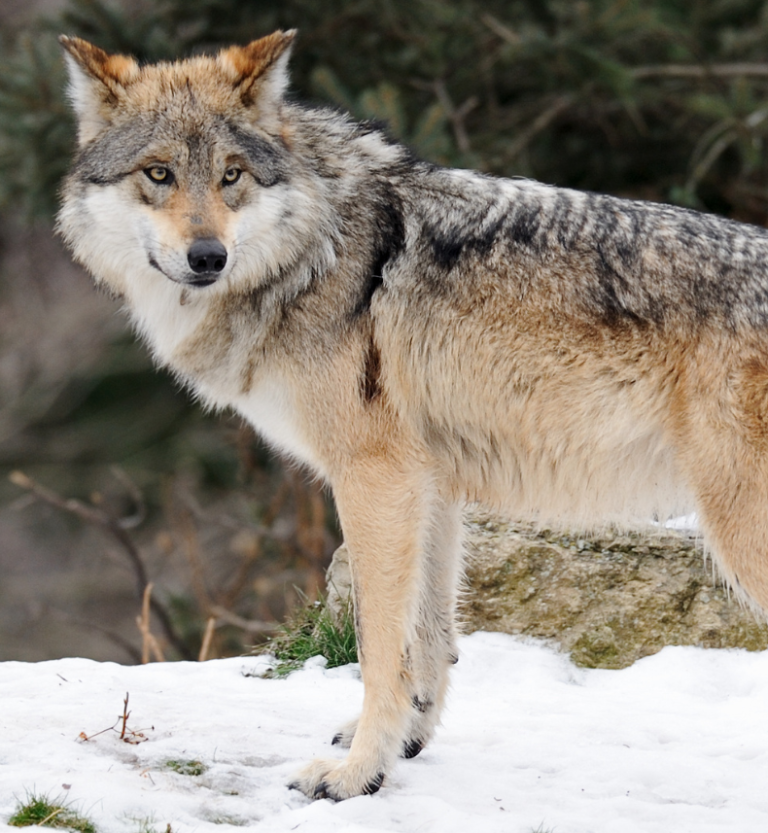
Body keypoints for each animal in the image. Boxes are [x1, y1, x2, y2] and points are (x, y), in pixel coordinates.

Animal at [58, 29, 768, 799]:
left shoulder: (376, 478)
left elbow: (377, 646)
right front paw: (405, 743)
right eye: (158, 174)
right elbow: (426, 640)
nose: (207, 256)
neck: (319, 248)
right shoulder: (431, 486)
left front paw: (354, 774)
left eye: (231, 175)